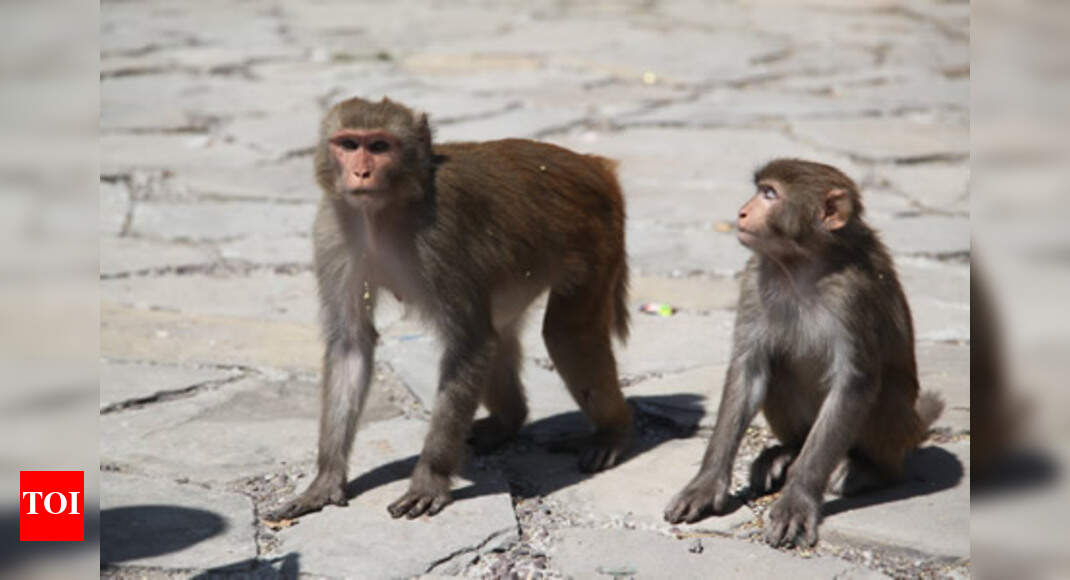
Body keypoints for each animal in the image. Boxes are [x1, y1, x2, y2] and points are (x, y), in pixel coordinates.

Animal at [269, 97, 633, 521]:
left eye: (379, 146)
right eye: (347, 144)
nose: (360, 172)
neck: (383, 212)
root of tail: (595, 165)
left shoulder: (443, 234)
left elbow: (470, 342)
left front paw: (430, 476)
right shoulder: (331, 232)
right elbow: (351, 345)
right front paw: (326, 478)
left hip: (597, 237)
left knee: (567, 336)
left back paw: (613, 432)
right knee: (502, 336)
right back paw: (509, 421)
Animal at [663, 159, 943, 548]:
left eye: (770, 194)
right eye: (760, 190)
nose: (742, 211)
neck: (801, 263)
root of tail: (914, 429)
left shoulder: (852, 294)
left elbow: (853, 385)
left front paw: (797, 499)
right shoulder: (755, 277)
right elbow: (748, 371)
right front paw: (706, 485)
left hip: (899, 431)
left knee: (881, 399)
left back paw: (870, 470)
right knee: (777, 368)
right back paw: (786, 453)